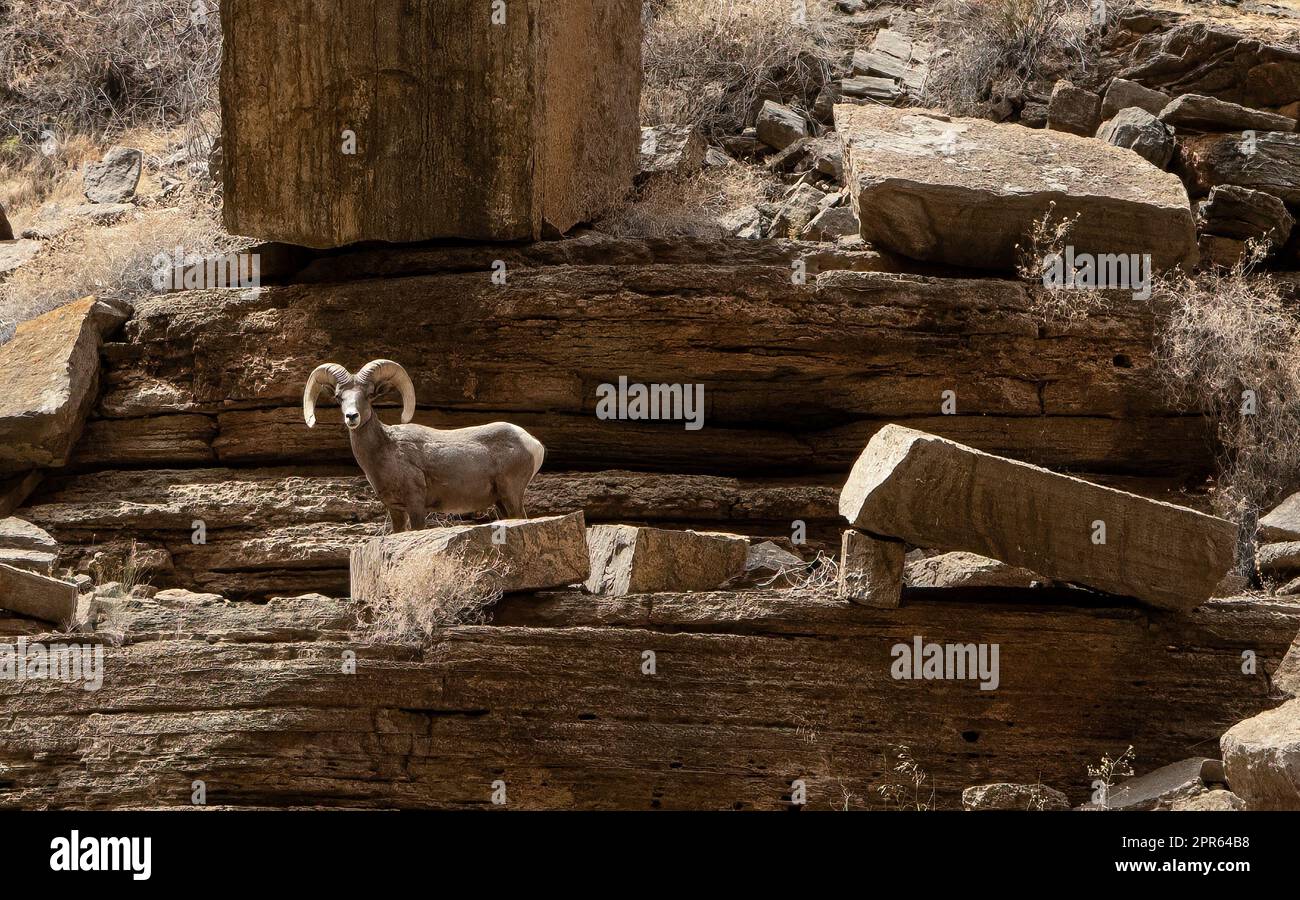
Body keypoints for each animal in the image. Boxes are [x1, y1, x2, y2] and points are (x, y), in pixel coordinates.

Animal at [303, 359, 545, 532]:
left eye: (370, 394)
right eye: (338, 397)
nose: (352, 417)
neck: (386, 450)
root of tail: (533, 443)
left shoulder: (416, 505)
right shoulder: (396, 510)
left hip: (511, 495)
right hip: (501, 502)